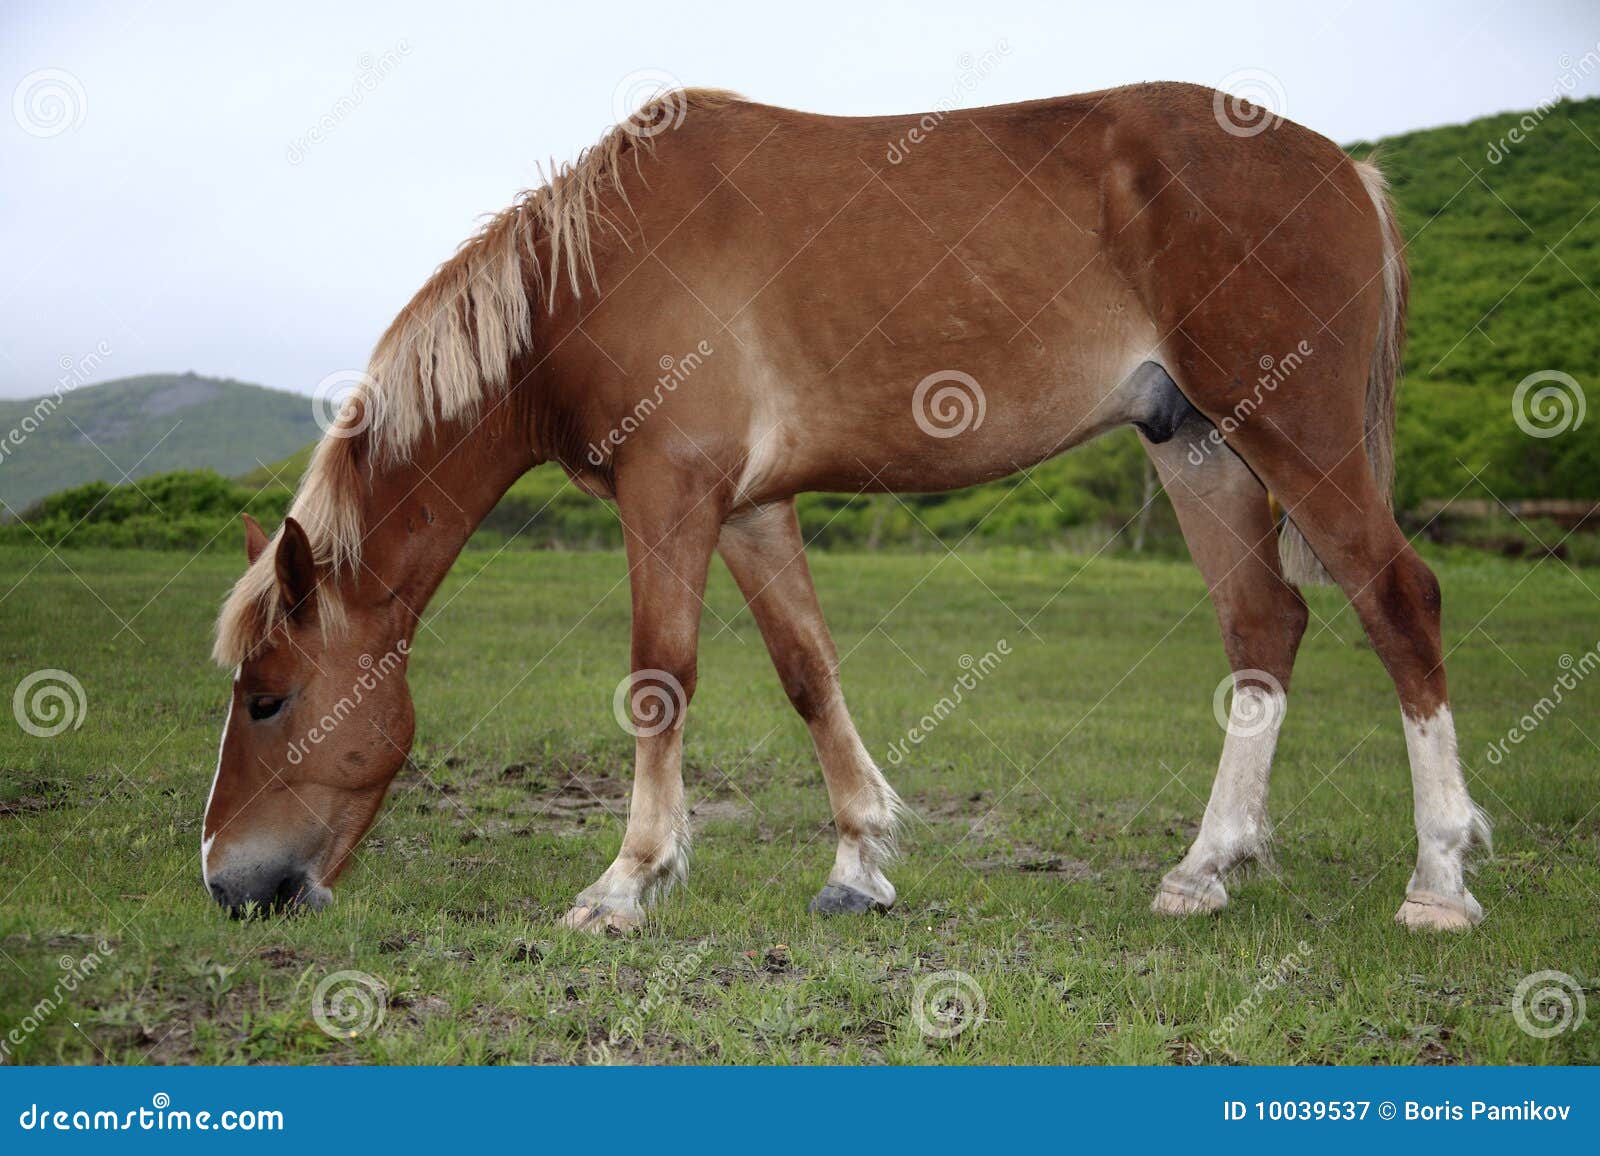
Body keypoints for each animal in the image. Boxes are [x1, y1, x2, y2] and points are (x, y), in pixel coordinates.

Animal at [202, 82, 1489, 933]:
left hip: (1294, 434)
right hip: (1200, 445)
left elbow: (658, 675)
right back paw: (1205, 867)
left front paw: (625, 881)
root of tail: (1343, 168)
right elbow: (806, 671)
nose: (225, 881)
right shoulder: (747, 509)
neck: (587, 270)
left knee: (1398, 600)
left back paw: (1436, 879)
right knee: (1263, 624)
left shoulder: (669, 491)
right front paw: (860, 860)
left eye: (269, 699)